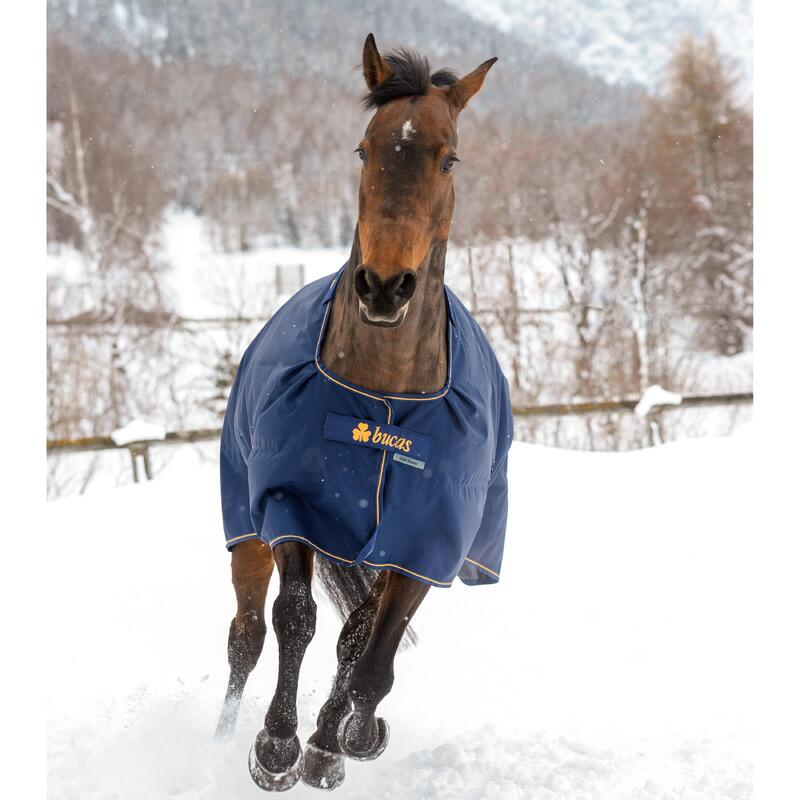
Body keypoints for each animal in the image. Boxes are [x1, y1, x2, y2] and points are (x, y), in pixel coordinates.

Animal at [215, 34, 513, 792]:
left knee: (354, 634)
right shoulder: (291, 504)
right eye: (364, 148)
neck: (386, 397)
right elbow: (294, 619)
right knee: (245, 636)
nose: (383, 286)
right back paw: (222, 740)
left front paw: (338, 741)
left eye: (449, 156)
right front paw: (275, 747)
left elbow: (371, 652)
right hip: (244, 524)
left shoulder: (425, 539)